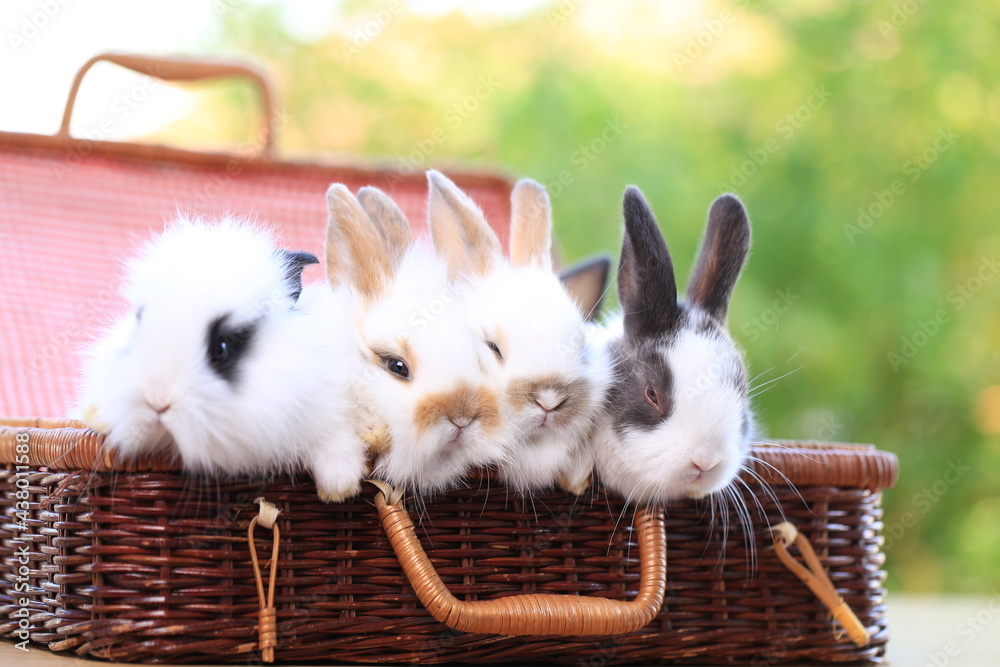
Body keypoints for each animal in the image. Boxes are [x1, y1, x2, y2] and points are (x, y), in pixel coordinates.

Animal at [74, 217, 367, 503]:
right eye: (139, 322)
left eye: (221, 349)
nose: (157, 402)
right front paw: (93, 415)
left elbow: (335, 441)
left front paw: (339, 489)